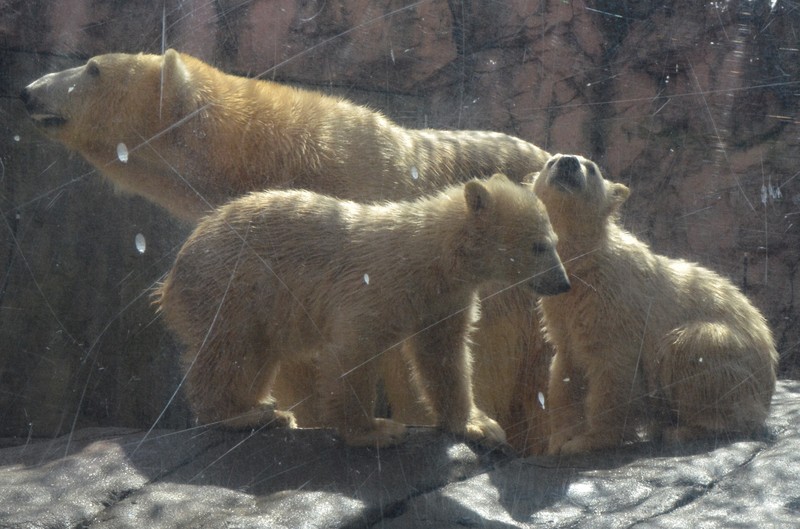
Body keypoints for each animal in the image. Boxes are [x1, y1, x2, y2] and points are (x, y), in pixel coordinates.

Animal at [155, 174, 571, 447]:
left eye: (554, 241)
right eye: (538, 246)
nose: (563, 283)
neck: (432, 256)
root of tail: (170, 278)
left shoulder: (444, 299)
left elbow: (443, 354)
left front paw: (479, 425)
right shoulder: (378, 283)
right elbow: (354, 350)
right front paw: (376, 430)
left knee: (254, 355)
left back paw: (267, 410)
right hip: (234, 287)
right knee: (231, 351)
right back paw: (245, 414)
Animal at [532, 154, 779, 455]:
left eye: (591, 167)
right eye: (551, 161)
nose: (567, 162)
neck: (585, 265)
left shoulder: (614, 304)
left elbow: (613, 373)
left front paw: (588, 440)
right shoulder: (562, 309)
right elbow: (565, 373)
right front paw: (559, 440)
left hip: (732, 360)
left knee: (691, 347)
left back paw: (682, 431)